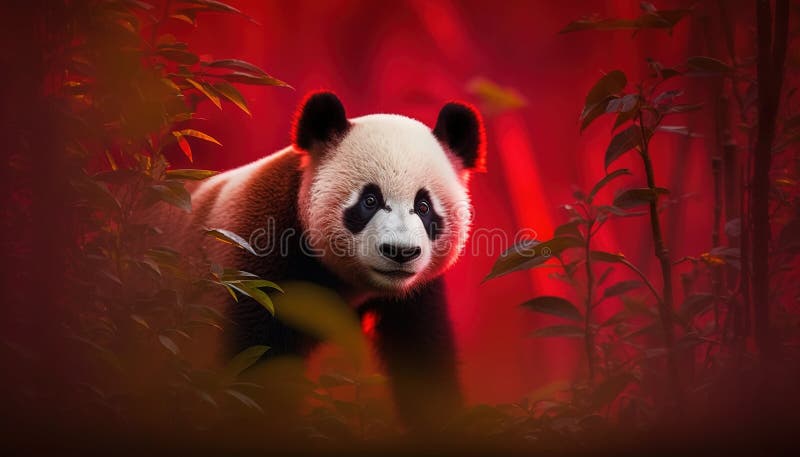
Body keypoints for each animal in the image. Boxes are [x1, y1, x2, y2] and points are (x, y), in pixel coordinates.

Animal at [180, 92, 486, 426]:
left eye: (424, 206)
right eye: (370, 200)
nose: (400, 252)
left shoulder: (415, 294)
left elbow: (424, 359)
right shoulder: (260, 263)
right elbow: (258, 365)